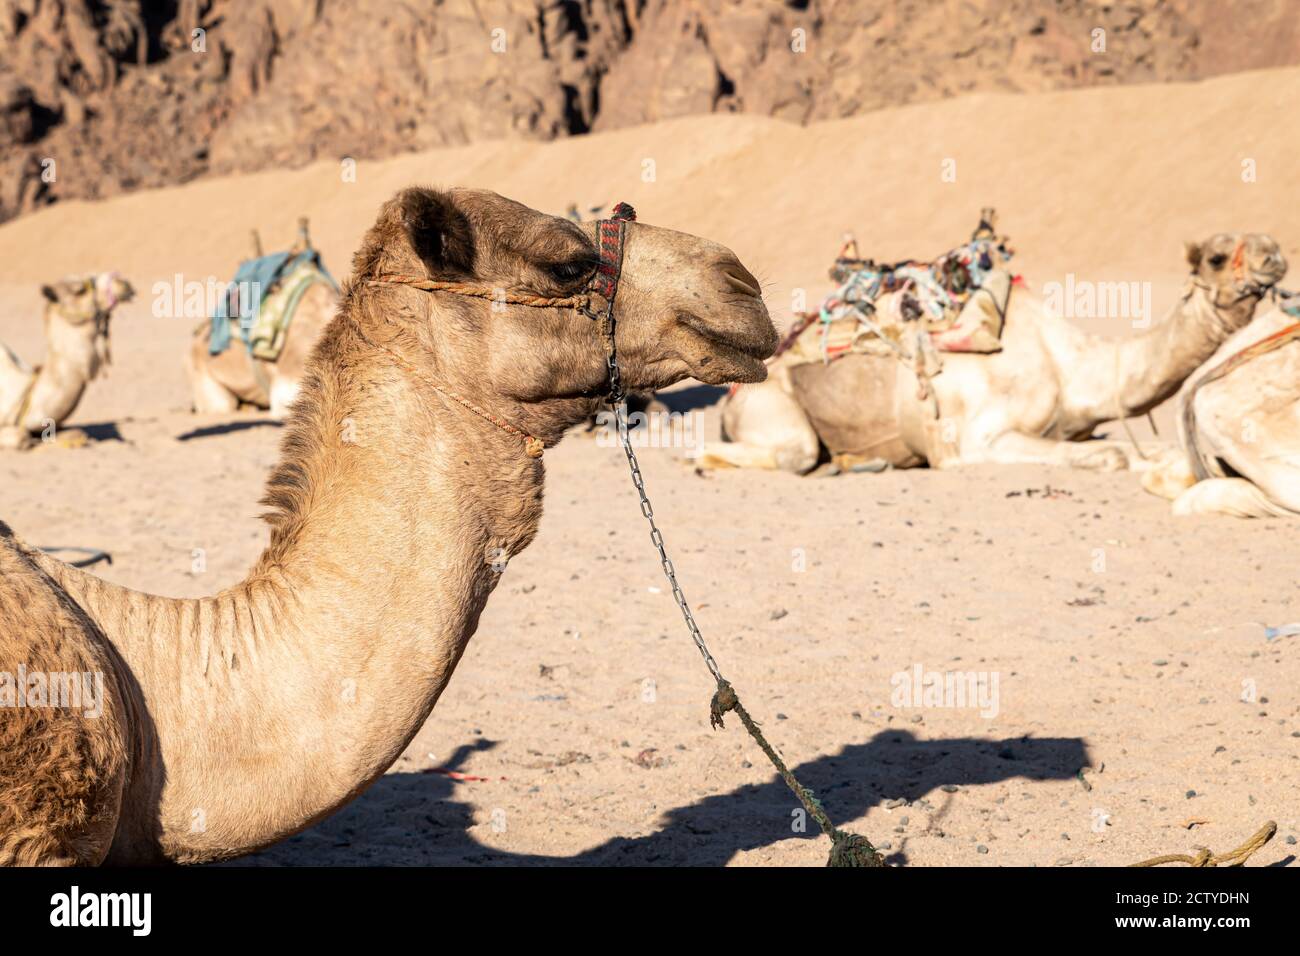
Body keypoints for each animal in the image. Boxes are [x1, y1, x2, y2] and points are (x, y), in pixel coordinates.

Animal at [698, 233, 1286, 475]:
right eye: (1216, 257)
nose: (1275, 255)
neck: (1070, 366)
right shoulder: (978, 438)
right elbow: (1110, 456)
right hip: (767, 399)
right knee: (793, 453)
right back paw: (696, 457)